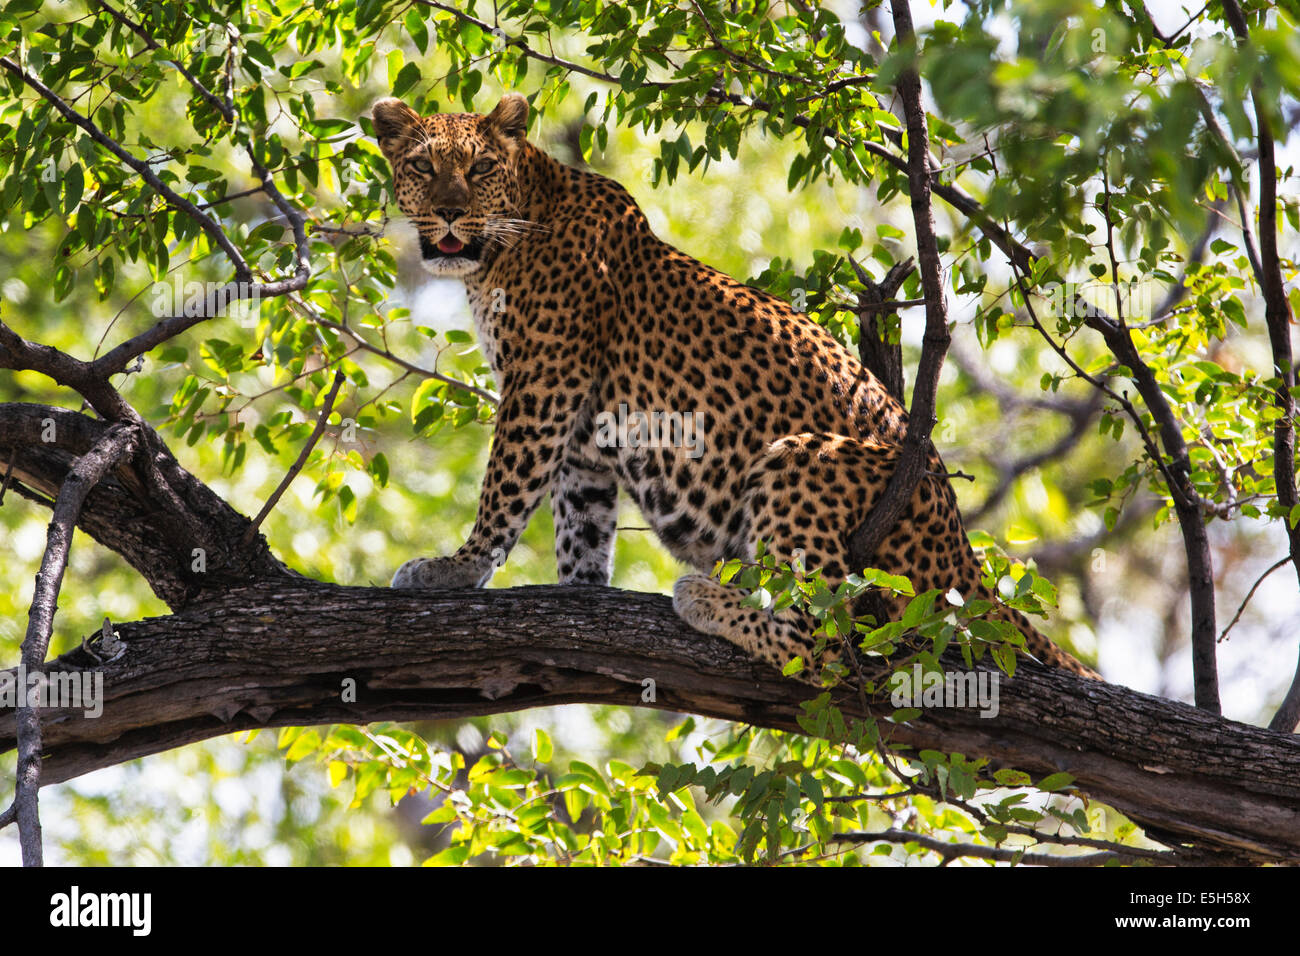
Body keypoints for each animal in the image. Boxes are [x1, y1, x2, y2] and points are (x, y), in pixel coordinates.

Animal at [371, 91, 1099, 682]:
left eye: (479, 170)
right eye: (423, 167)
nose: (448, 212)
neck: (500, 249)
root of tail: (962, 552)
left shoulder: (545, 381)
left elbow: (505, 490)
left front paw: (455, 569)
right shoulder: (579, 423)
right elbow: (581, 518)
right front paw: (580, 592)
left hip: (802, 459)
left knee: (825, 644)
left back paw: (706, 598)